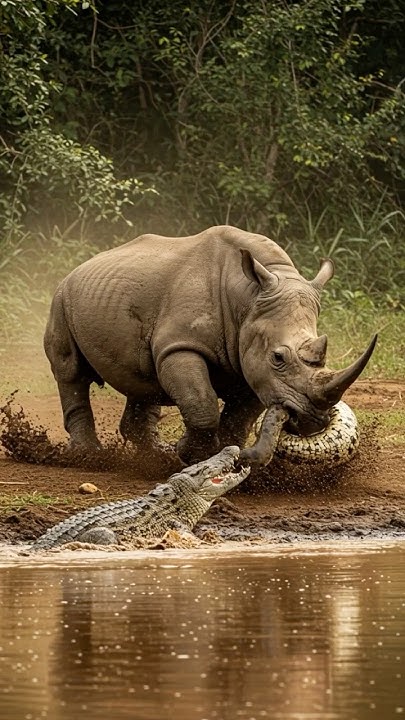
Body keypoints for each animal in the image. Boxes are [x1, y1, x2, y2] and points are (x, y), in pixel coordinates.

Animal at [44, 225, 376, 465]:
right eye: (278, 357)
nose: (310, 420)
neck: (248, 298)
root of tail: (82, 265)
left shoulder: (253, 364)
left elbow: (239, 419)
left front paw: (227, 457)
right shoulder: (183, 345)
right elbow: (201, 402)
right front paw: (191, 455)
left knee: (144, 382)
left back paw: (155, 454)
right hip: (61, 297)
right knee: (71, 371)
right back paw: (90, 456)